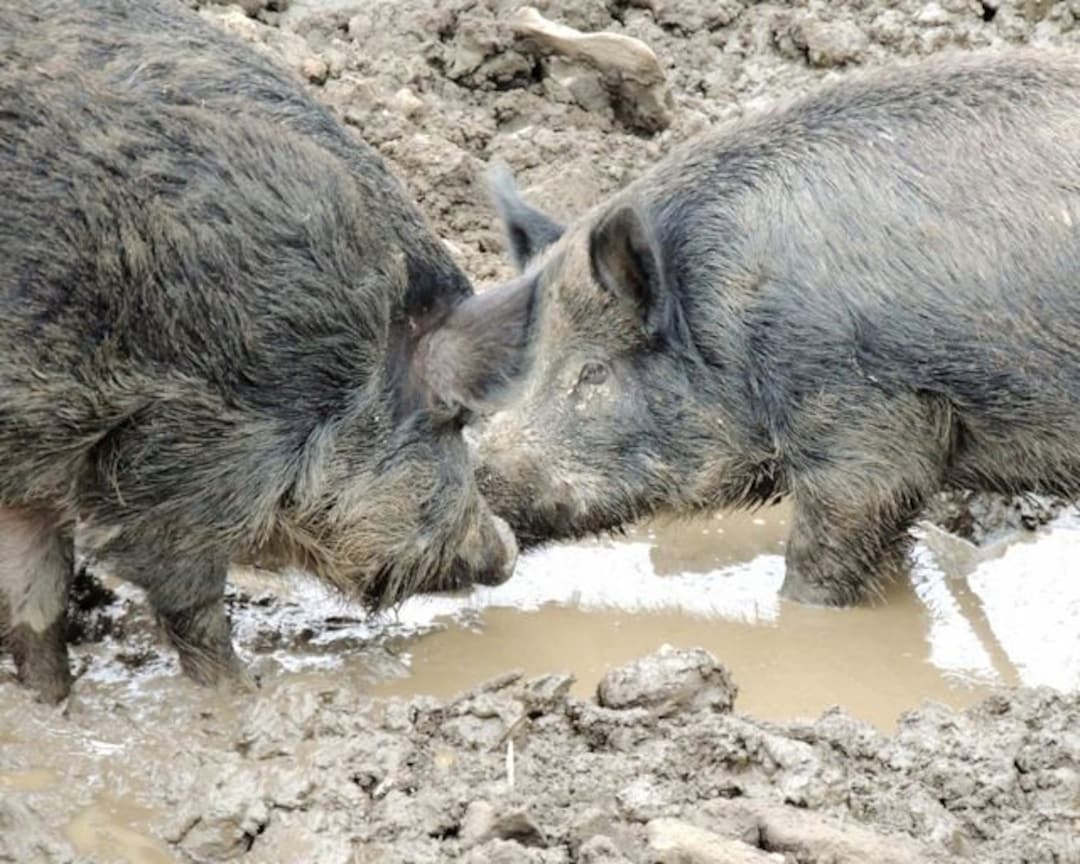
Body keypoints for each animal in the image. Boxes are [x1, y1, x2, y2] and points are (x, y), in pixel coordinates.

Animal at [0, 0, 516, 703]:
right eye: (453, 416)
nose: (508, 551)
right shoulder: (192, 454)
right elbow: (187, 600)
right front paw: (241, 697)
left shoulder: (35, 484)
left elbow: (35, 601)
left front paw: (53, 708)